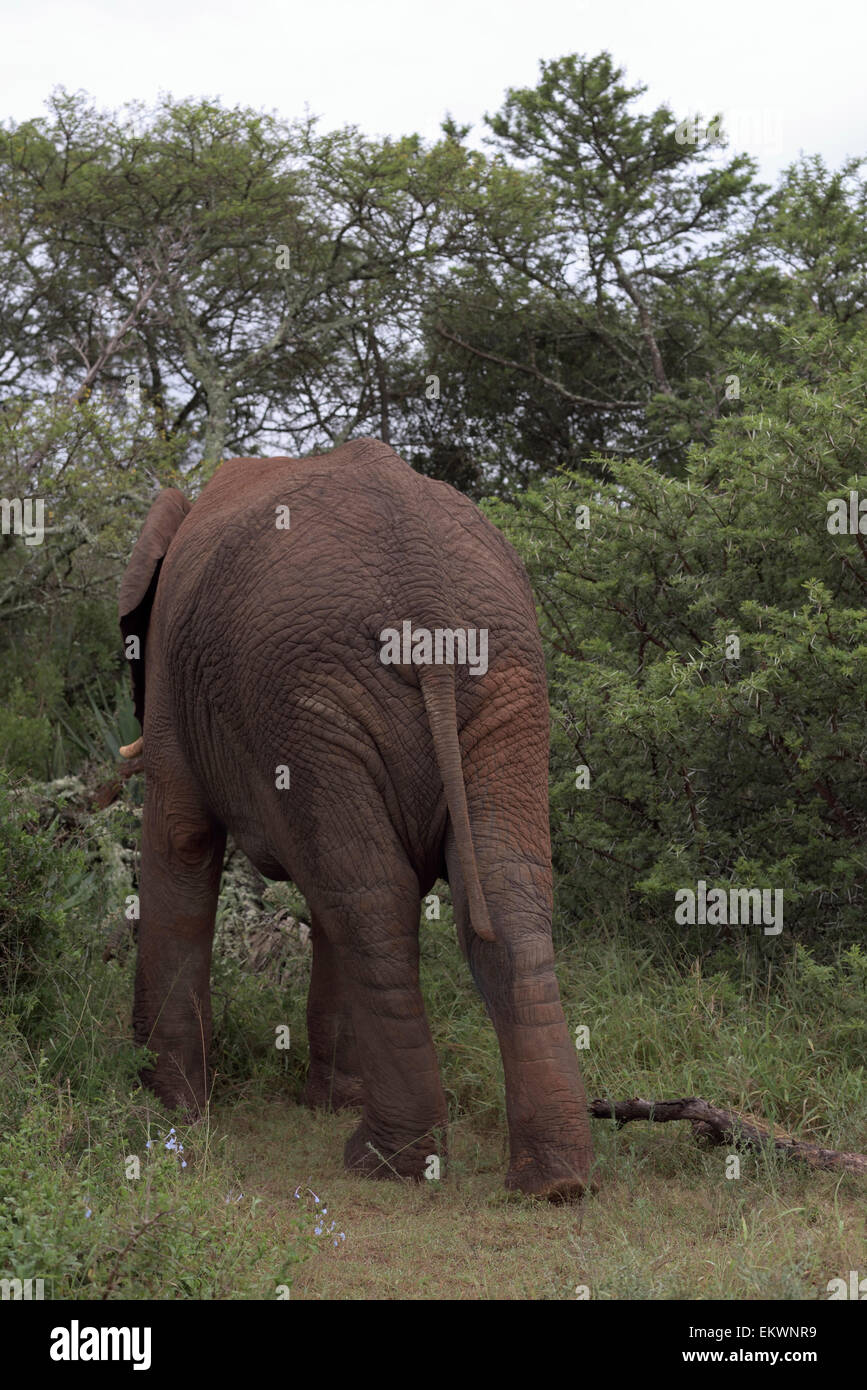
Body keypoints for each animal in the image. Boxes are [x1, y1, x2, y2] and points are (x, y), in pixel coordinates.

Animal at [118, 437, 593, 1200]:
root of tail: (422, 577)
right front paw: (323, 1102)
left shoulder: (170, 675)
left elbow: (180, 843)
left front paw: (169, 1109)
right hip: (498, 684)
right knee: (495, 894)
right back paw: (552, 1184)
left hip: (308, 690)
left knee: (372, 899)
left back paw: (382, 1161)